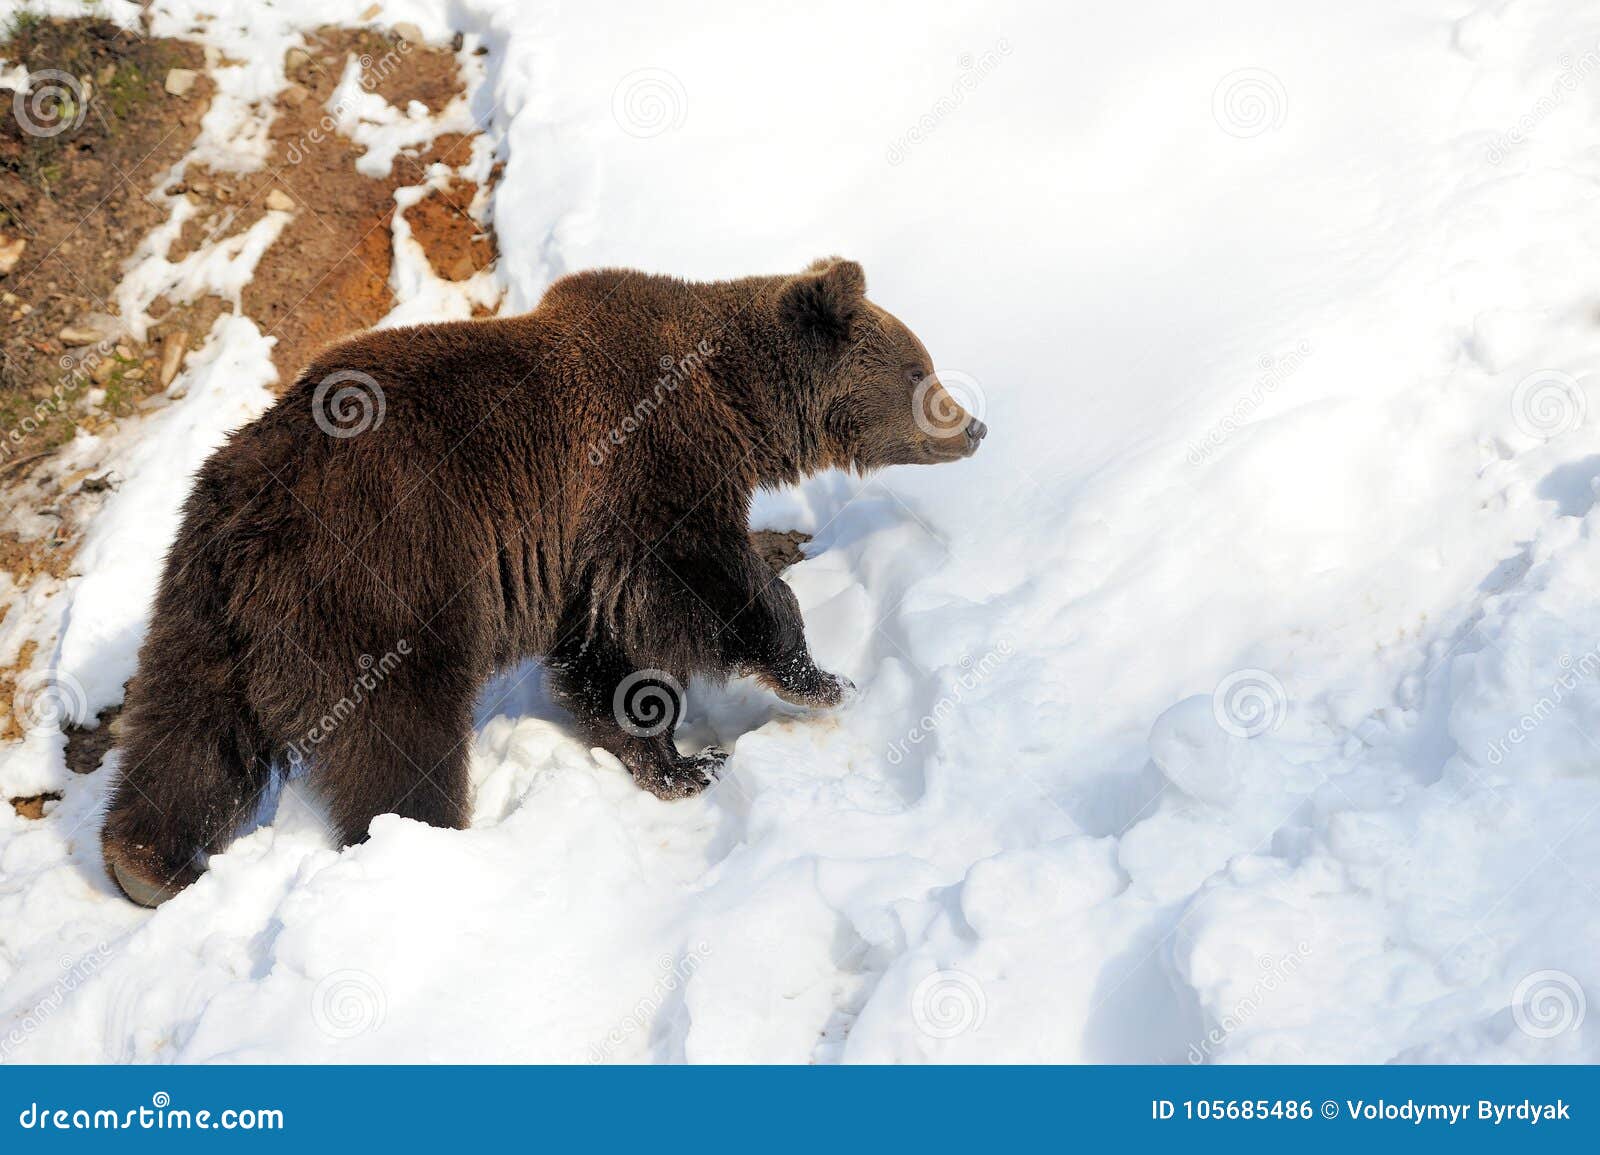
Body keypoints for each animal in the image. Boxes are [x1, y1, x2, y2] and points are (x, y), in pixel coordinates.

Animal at [99, 257, 987, 906]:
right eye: (920, 368)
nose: (974, 423)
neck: (732, 405)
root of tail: (250, 504)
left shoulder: (579, 546)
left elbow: (604, 651)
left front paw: (672, 753)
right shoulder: (642, 470)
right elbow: (701, 587)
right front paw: (815, 680)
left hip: (203, 597)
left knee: (187, 728)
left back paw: (145, 861)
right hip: (384, 579)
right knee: (401, 733)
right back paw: (427, 841)